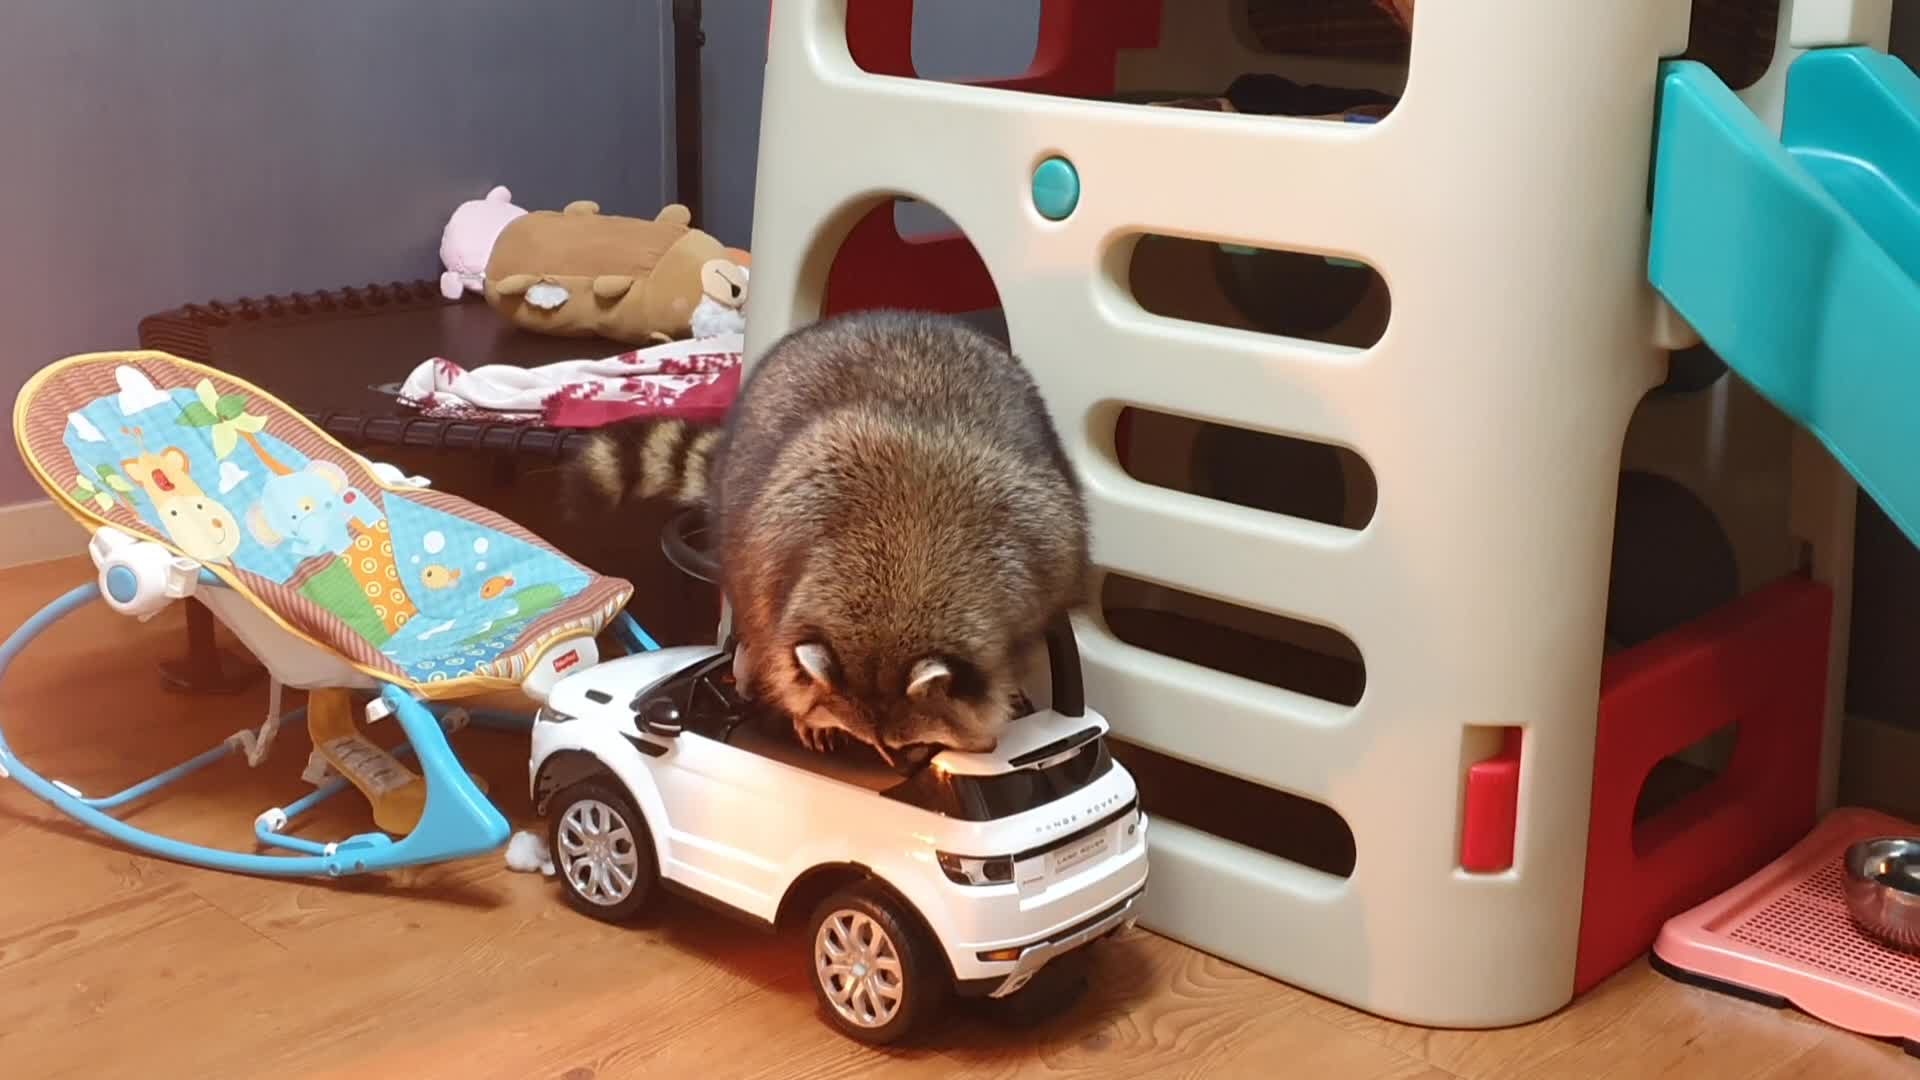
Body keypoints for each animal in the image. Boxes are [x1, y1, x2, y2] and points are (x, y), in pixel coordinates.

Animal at [564, 309, 1091, 758]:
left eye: (905, 741)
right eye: (872, 738)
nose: (891, 760)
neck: (902, 573)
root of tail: (880, 317)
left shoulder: (1036, 562)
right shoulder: (773, 557)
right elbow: (776, 641)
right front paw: (804, 712)